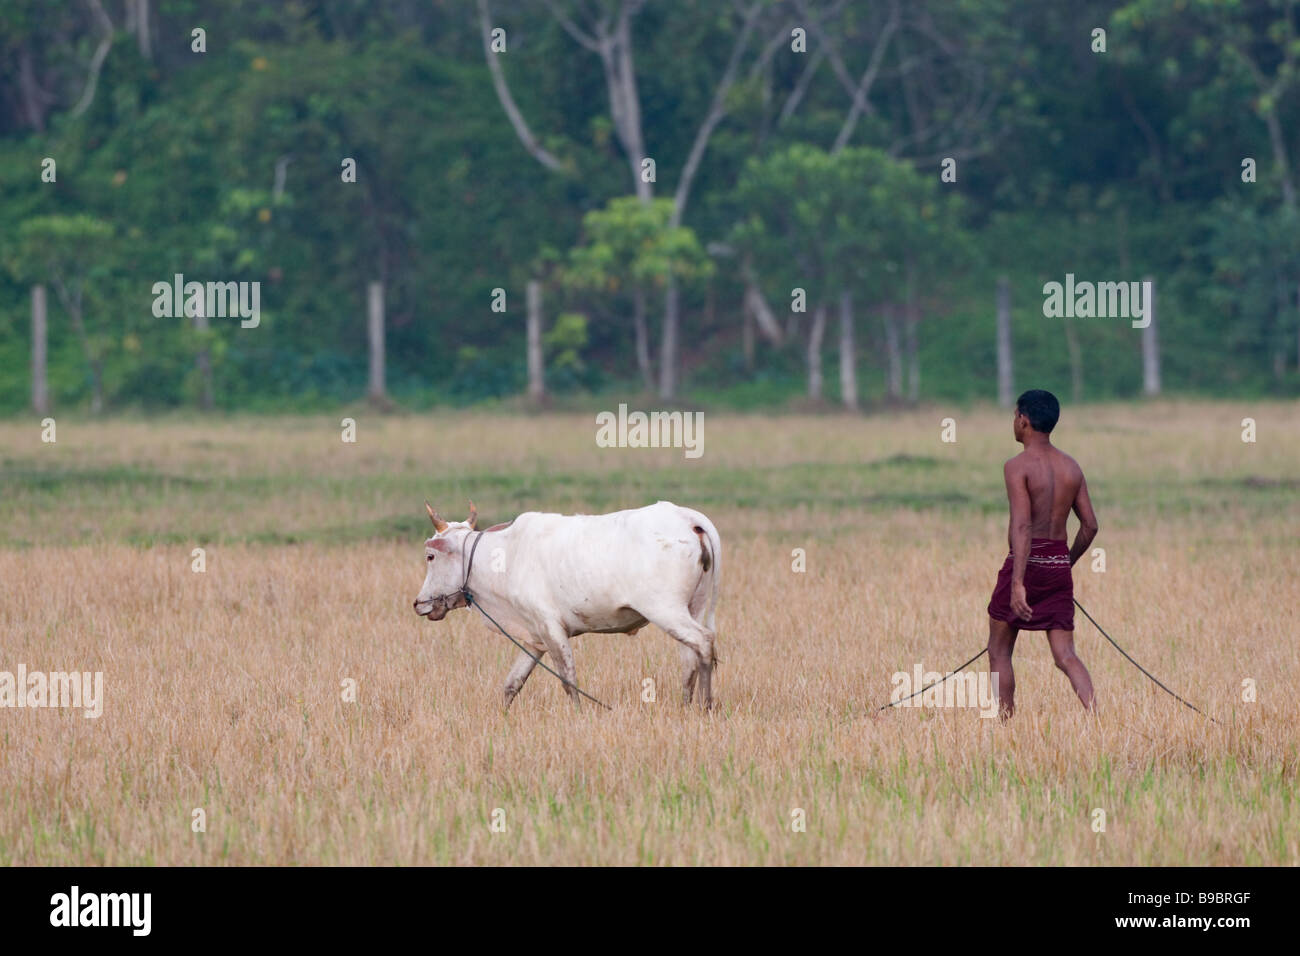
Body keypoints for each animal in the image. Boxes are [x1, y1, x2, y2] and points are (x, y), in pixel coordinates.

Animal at [412, 500, 721, 710]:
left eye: (430, 556)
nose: (418, 603)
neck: (503, 555)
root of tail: (688, 518)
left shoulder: (551, 629)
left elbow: (568, 680)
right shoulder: (534, 637)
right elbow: (512, 684)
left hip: (665, 610)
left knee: (704, 643)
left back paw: (705, 707)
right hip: (691, 608)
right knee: (689, 659)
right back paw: (685, 706)